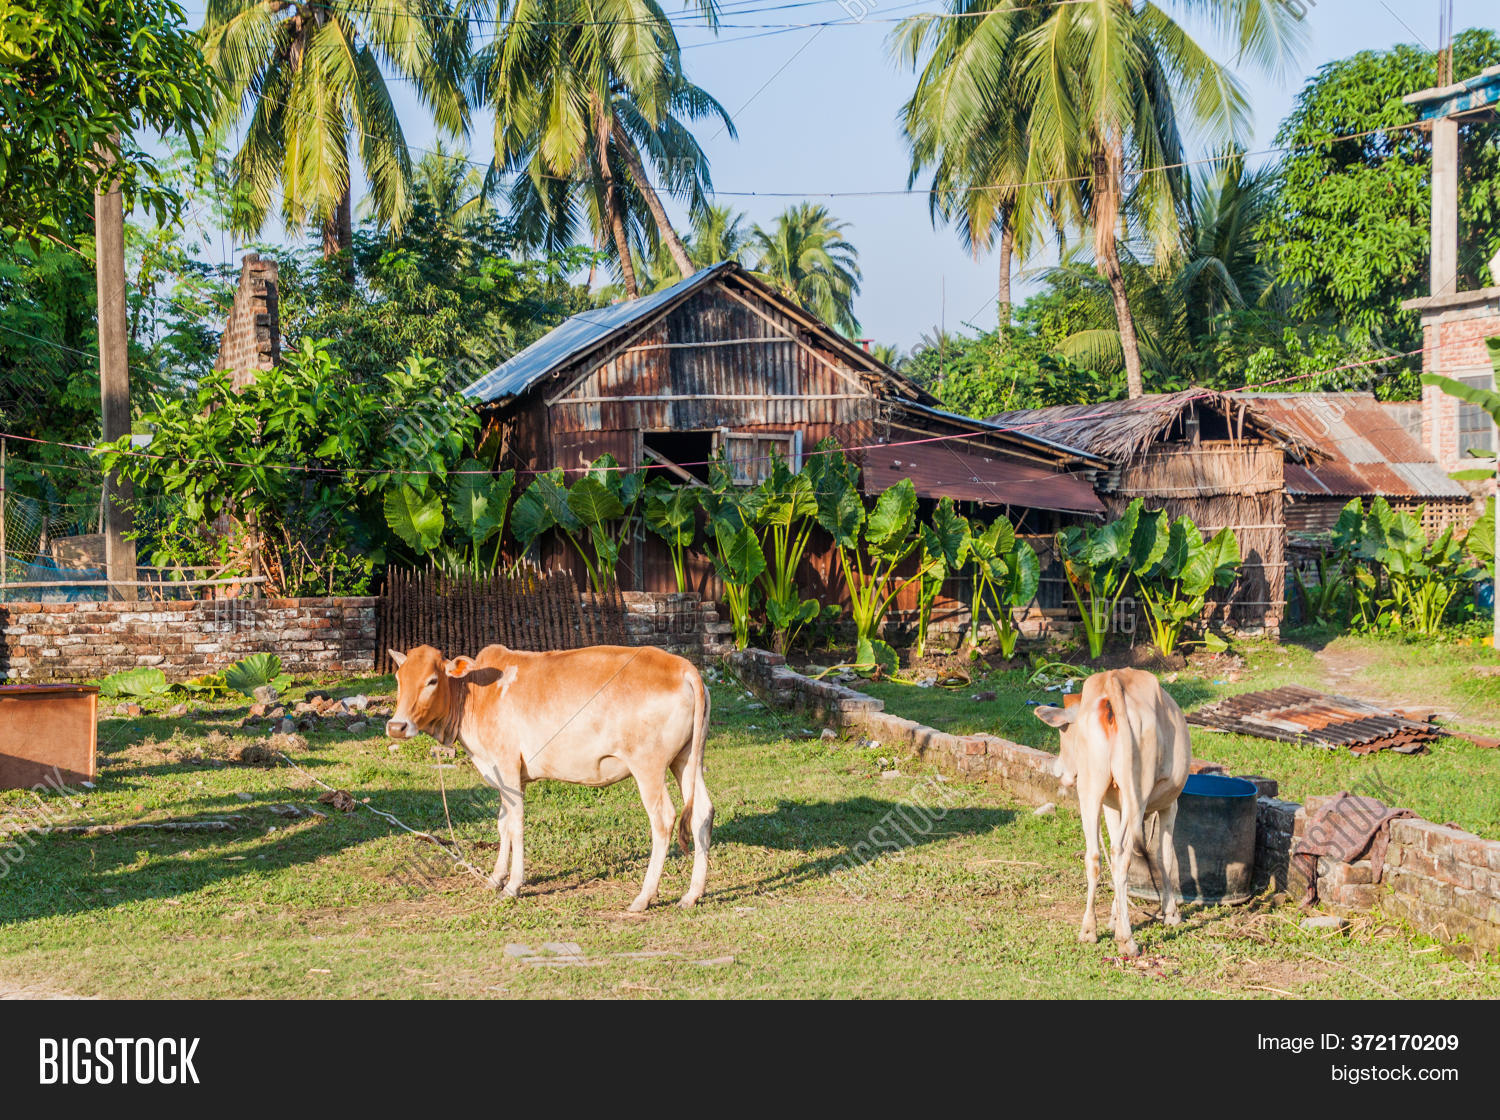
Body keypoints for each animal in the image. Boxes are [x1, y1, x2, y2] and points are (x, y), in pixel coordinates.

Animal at [385, 643, 713, 913]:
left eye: (432, 680)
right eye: (399, 679)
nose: (396, 726)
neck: (474, 692)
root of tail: (681, 666)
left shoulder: (507, 765)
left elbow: (515, 824)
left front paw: (513, 886)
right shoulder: (504, 776)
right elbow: (502, 823)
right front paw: (495, 878)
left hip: (648, 766)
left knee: (663, 819)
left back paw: (644, 897)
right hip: (687, 761)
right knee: (702, 814)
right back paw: (691, 895)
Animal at [1033, 669, 1191, 957]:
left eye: (1063, 733)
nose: (1058, 771)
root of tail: (1112, 681)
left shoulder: (1110, 807)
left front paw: (1115, 917)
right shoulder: (1170, 804)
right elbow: (1166, 856)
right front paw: (1171, 913)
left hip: (1090, 789)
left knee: (1095, 855)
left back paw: (1088, 930)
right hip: (1135, 793)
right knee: (1122, 855)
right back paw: (1126, 939)